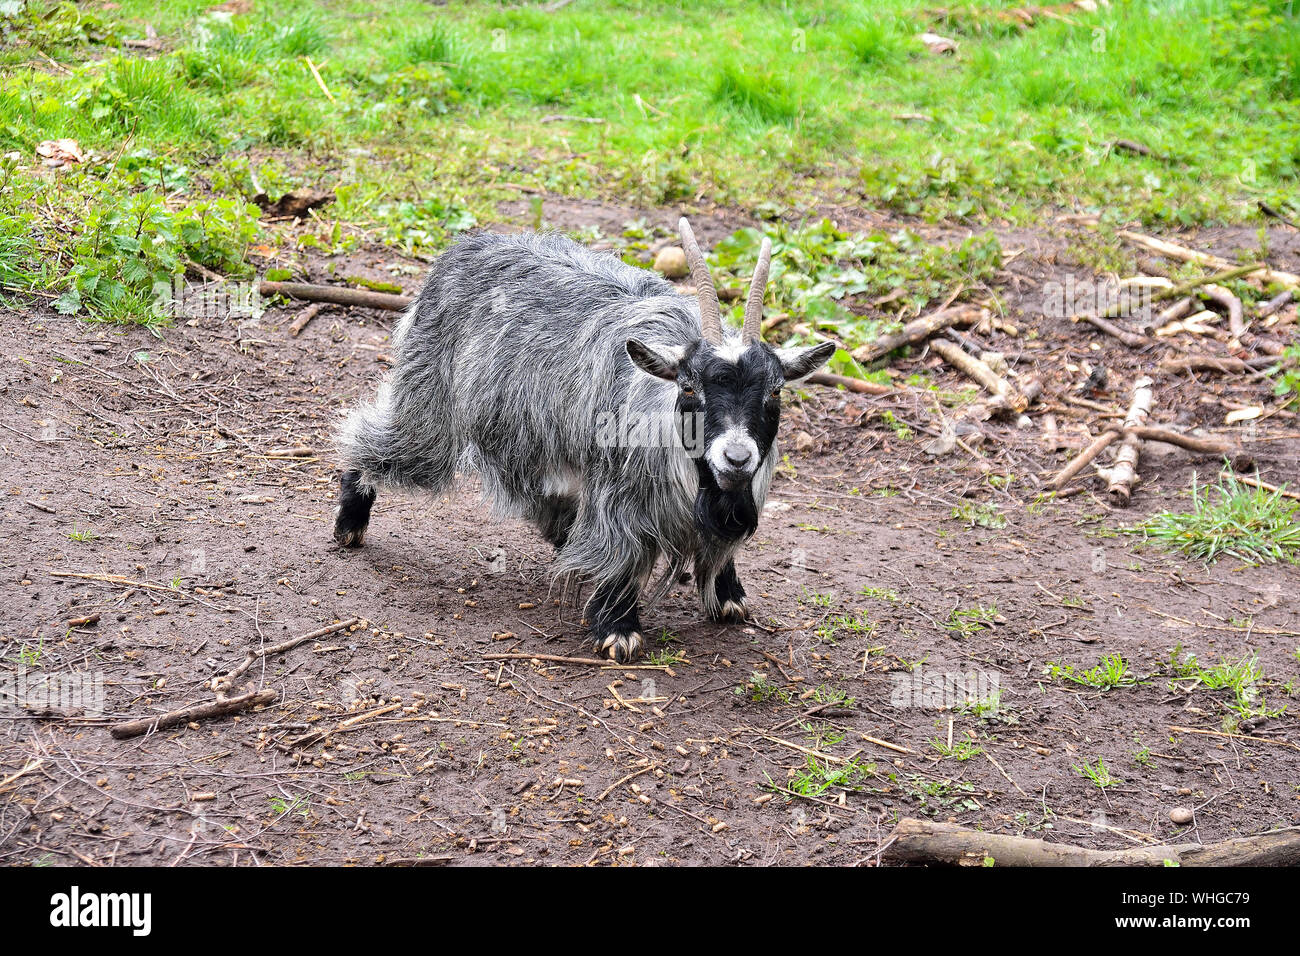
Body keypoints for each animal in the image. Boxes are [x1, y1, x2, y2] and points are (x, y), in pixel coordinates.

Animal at [333, 218, 834, 662]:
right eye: (690, 387)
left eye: (775, 391)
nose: (736, 456)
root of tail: (465, 247)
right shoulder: (617, 489)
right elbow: (620, 547)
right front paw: (618, 627)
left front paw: (729, 594)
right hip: (428, 400)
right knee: (384, 437)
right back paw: (350, 519)